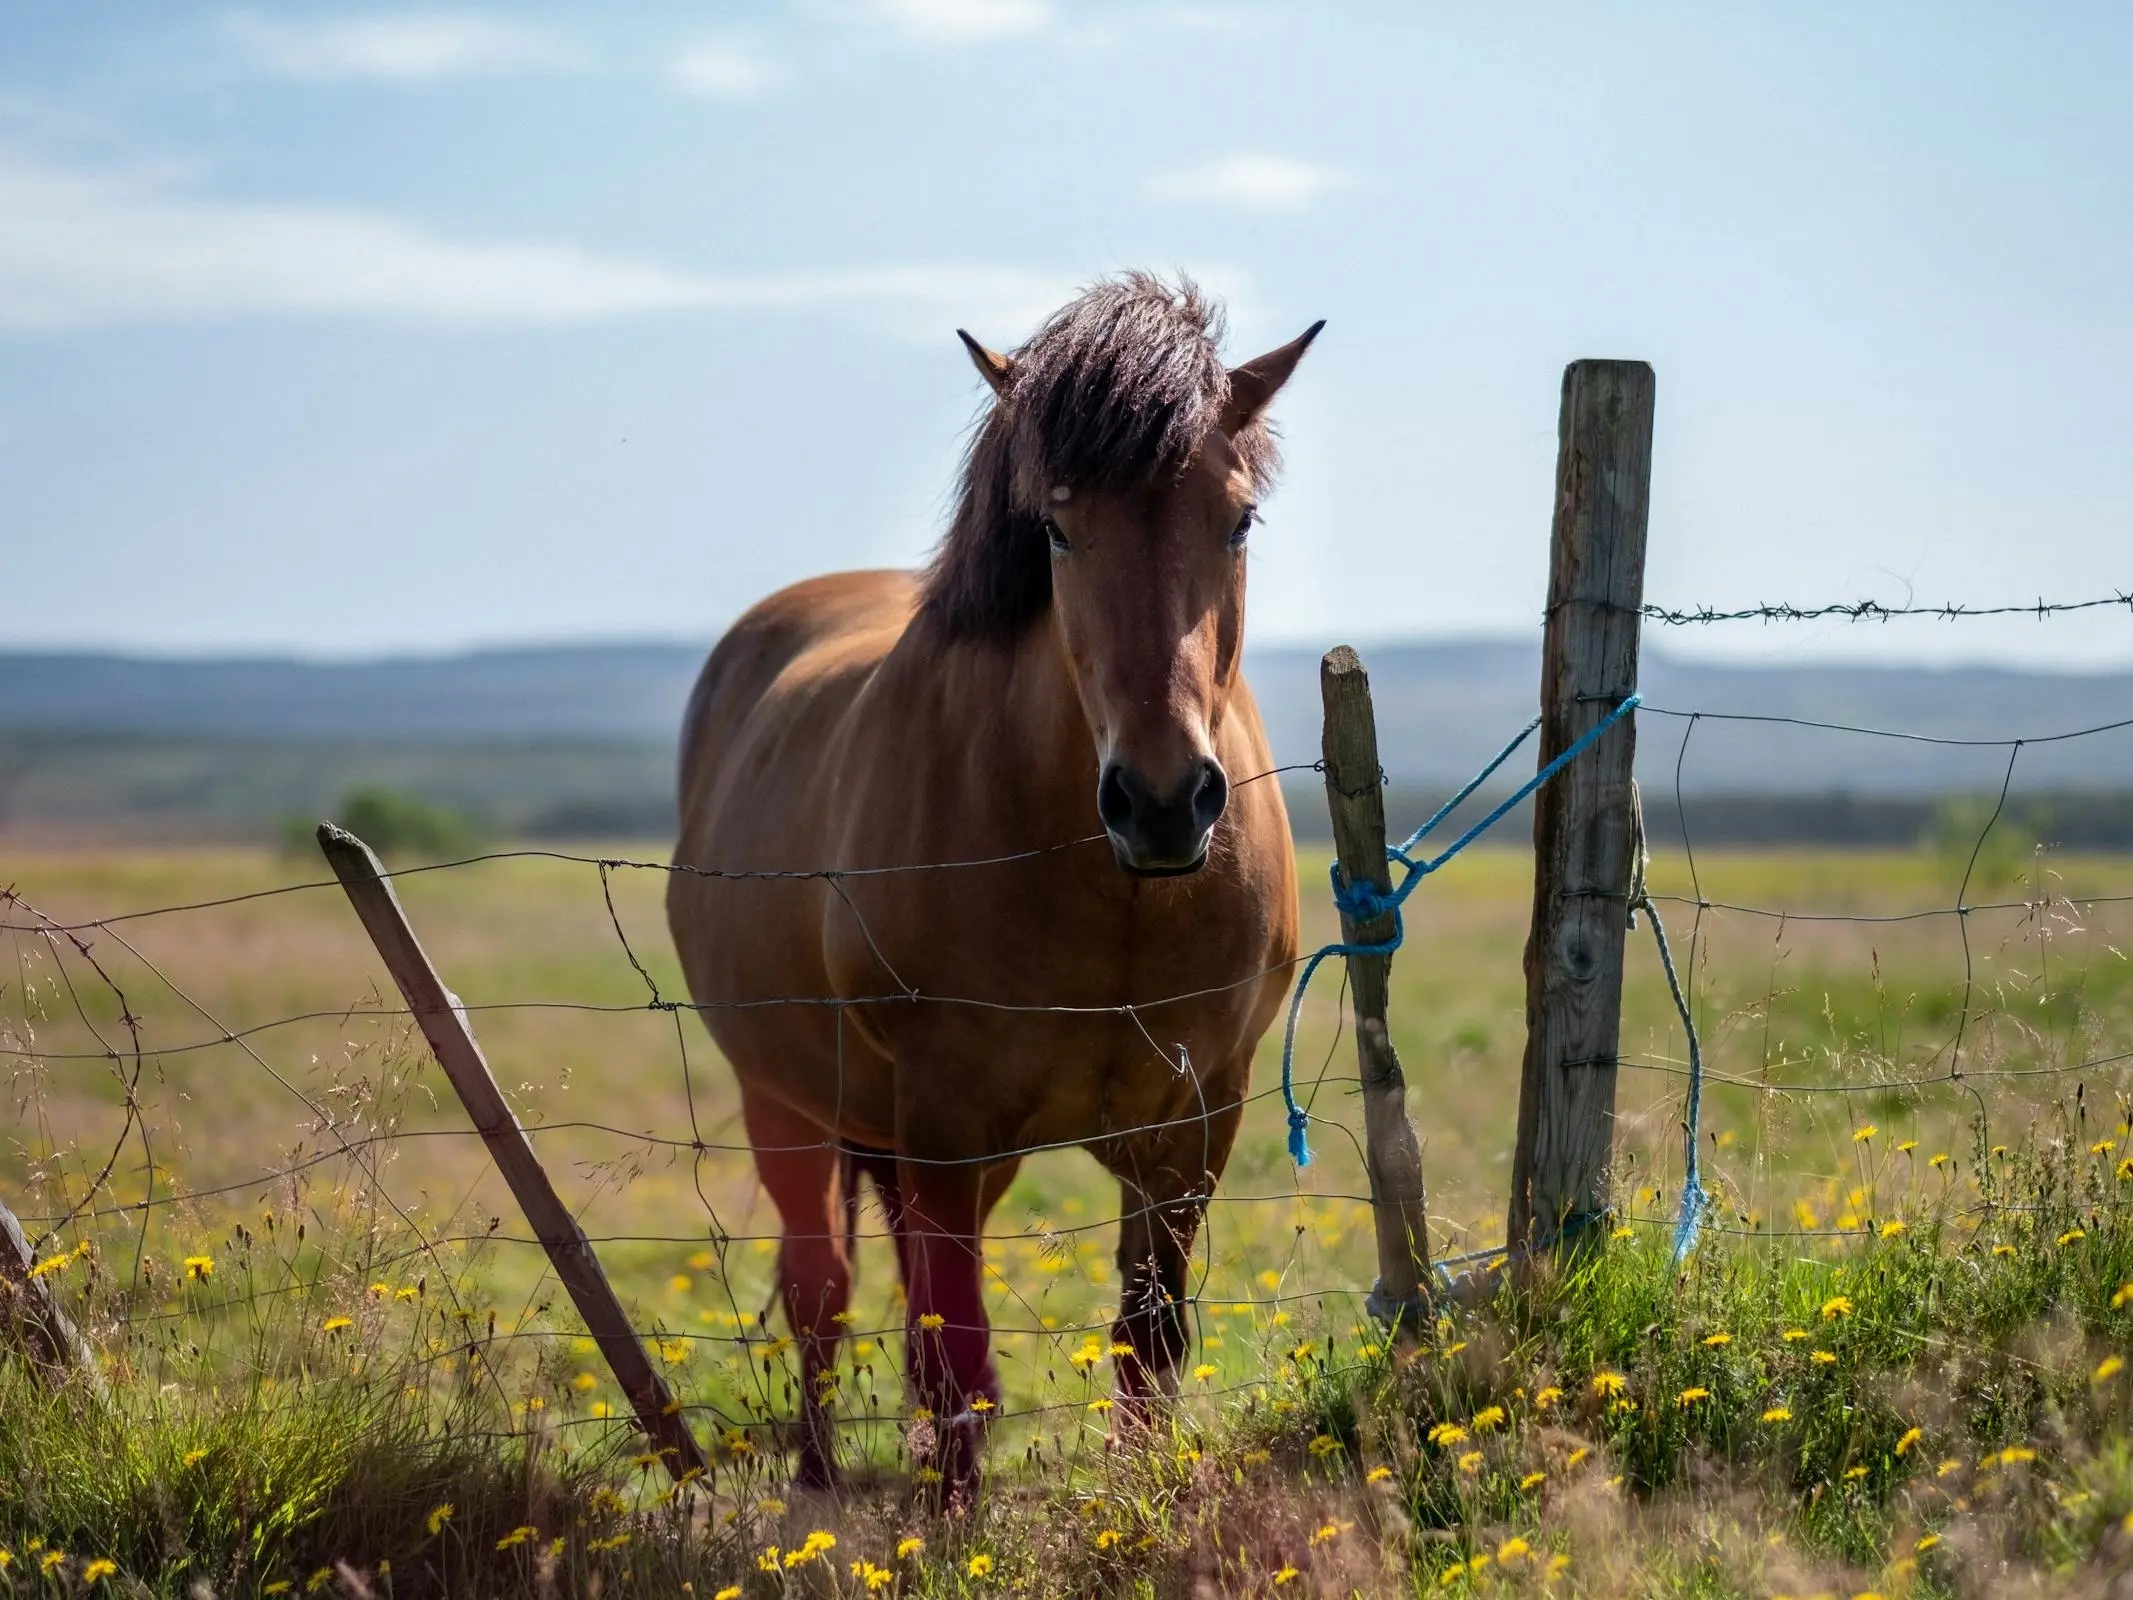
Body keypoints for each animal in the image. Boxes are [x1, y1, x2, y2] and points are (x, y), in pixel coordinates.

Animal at [666, 273, 1315, 1499]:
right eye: (1055, 528)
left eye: (1240, 519)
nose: (1163, 801)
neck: (1111, 894)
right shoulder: (941, 1124)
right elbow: (954, 1360)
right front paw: (950, 1515)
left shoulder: (1195, 1122)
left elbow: (1147, 1343)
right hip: (790, 1104)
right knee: (821, 1293)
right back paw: (818, 1478)